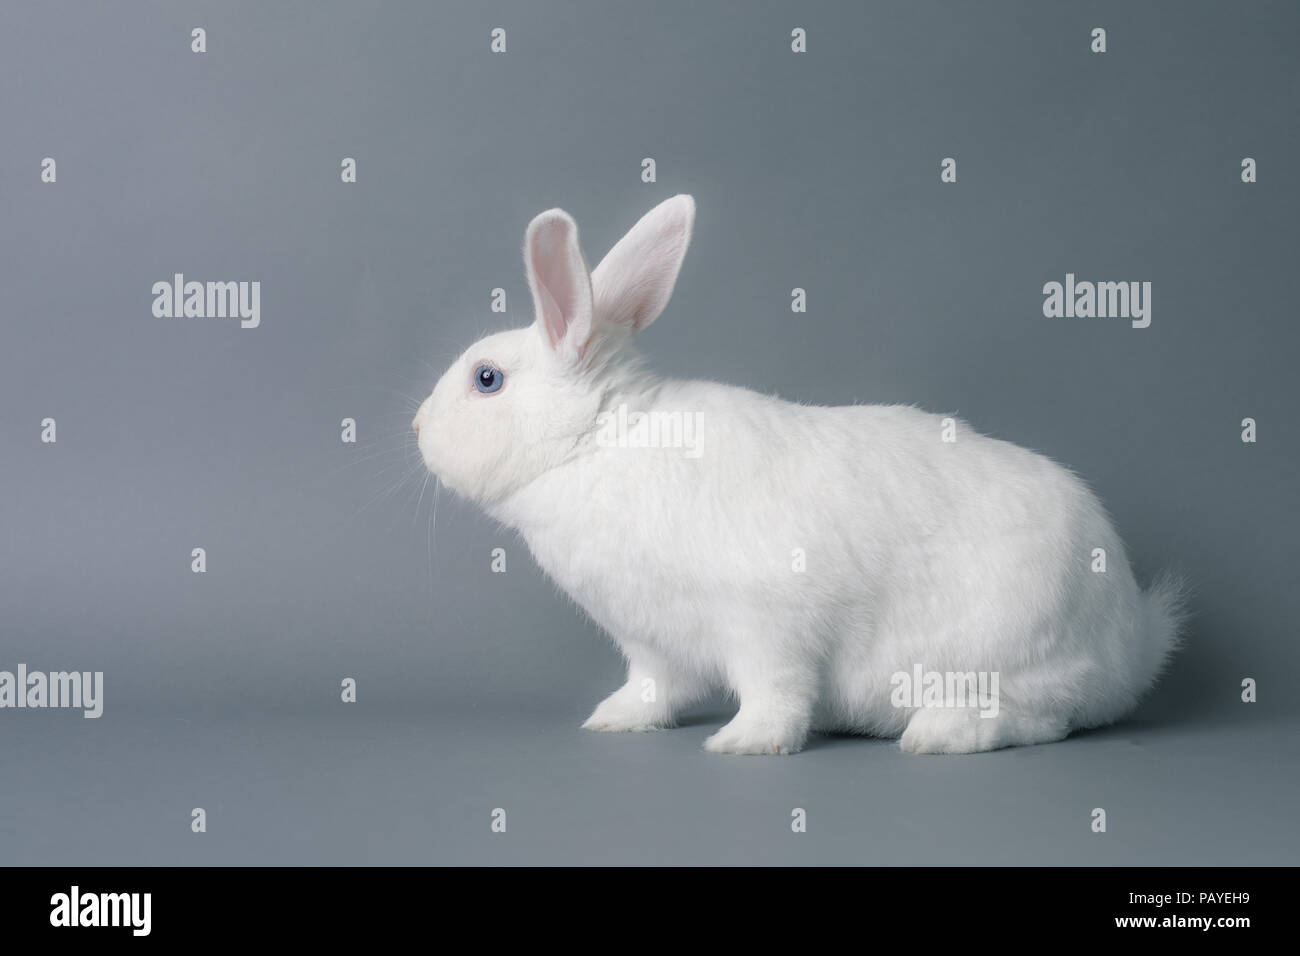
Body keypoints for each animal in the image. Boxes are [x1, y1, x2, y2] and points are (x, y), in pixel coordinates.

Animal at [412, 194, 1186, 755]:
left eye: (486, 379)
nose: (417, 429)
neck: (602, 439)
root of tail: (1134, 638)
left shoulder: (767, 625)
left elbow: (774, 693)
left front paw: (743, 745)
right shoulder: (655, 644)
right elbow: (654, 689)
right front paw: (612, 720)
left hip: (1015, 653)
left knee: (1042, 719)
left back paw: (937, 734)